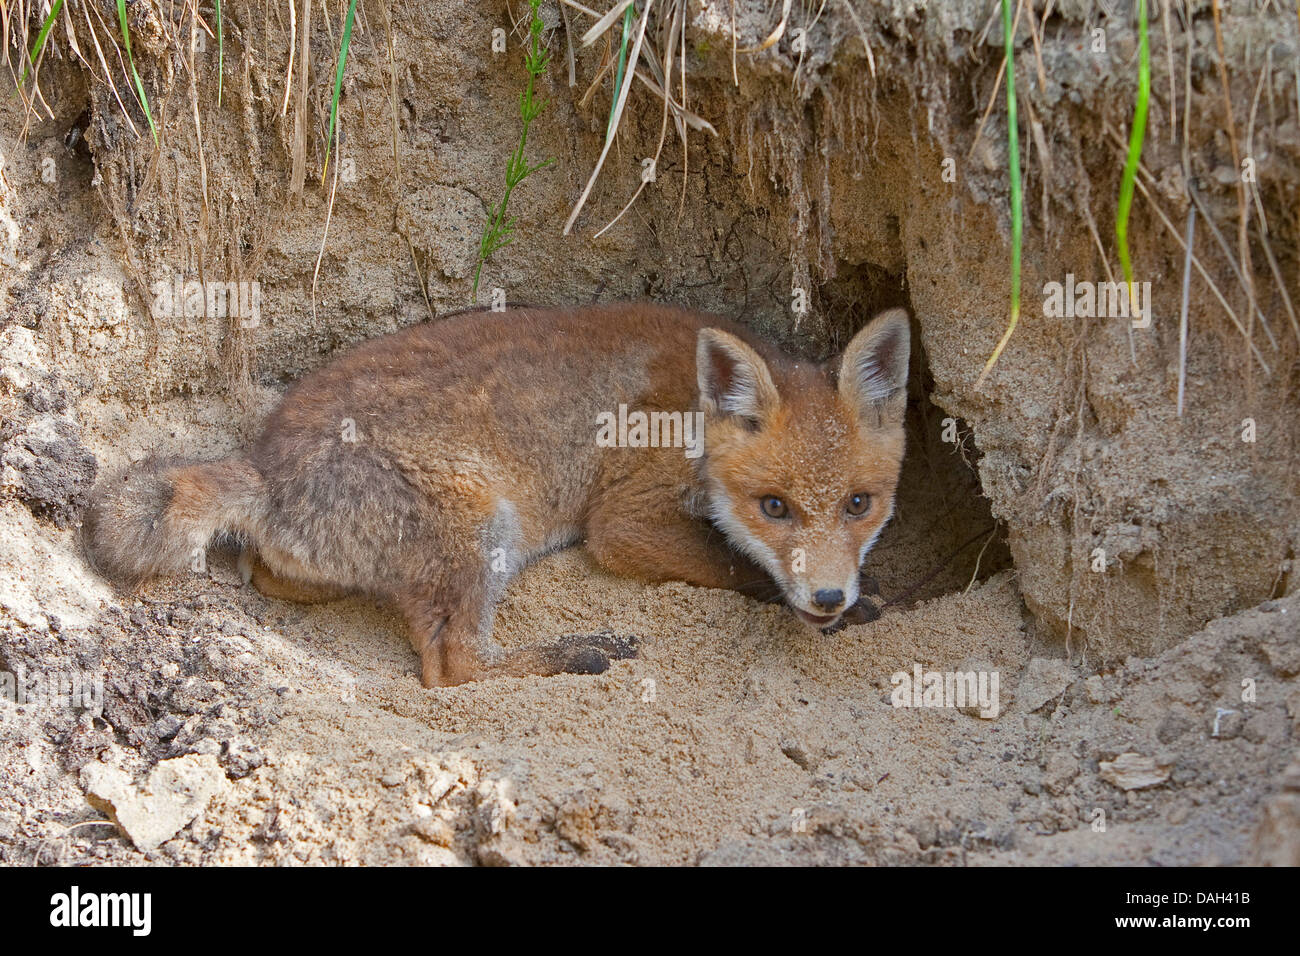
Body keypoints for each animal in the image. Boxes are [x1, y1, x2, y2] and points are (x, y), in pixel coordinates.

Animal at [82, 303, 911, 687]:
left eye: (859, 504)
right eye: (774, 507)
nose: (829, 597)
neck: (695, 419)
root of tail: (263, 462)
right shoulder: (624, 522)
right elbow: (736, 567)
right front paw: (839, 611)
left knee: (278, 575)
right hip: (483, 525)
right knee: (455, 667)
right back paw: (575, 655)